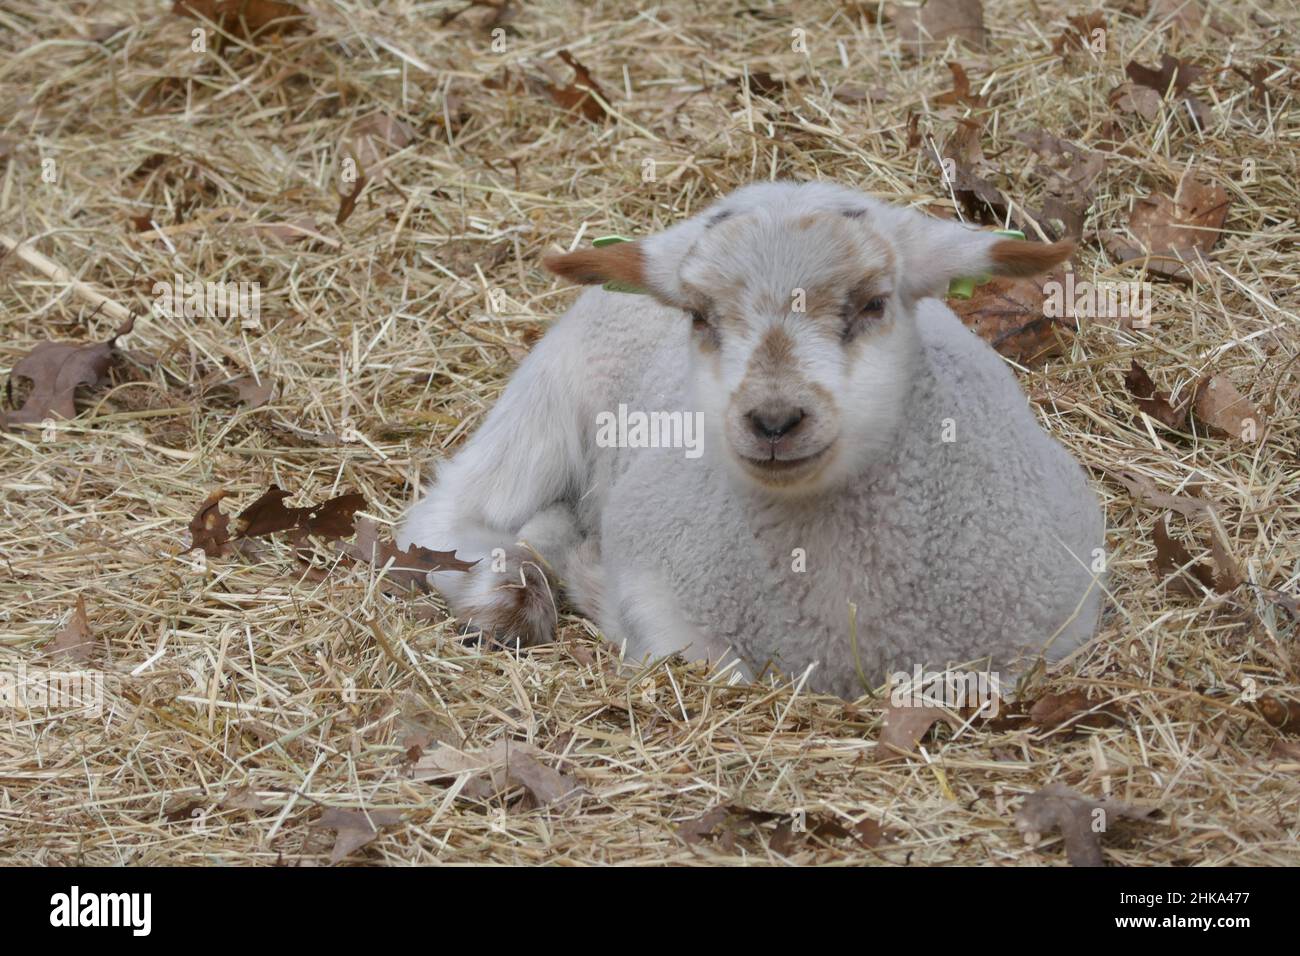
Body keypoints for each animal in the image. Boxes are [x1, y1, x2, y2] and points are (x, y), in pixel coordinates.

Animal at [397, 181, 1106, 700]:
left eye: (874, 304)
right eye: (699, 316)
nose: (773, 420)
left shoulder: (1050, 624)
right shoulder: (656, 585)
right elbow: (698, 658)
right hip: (551, 394)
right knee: (451, 514)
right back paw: (508, 587)